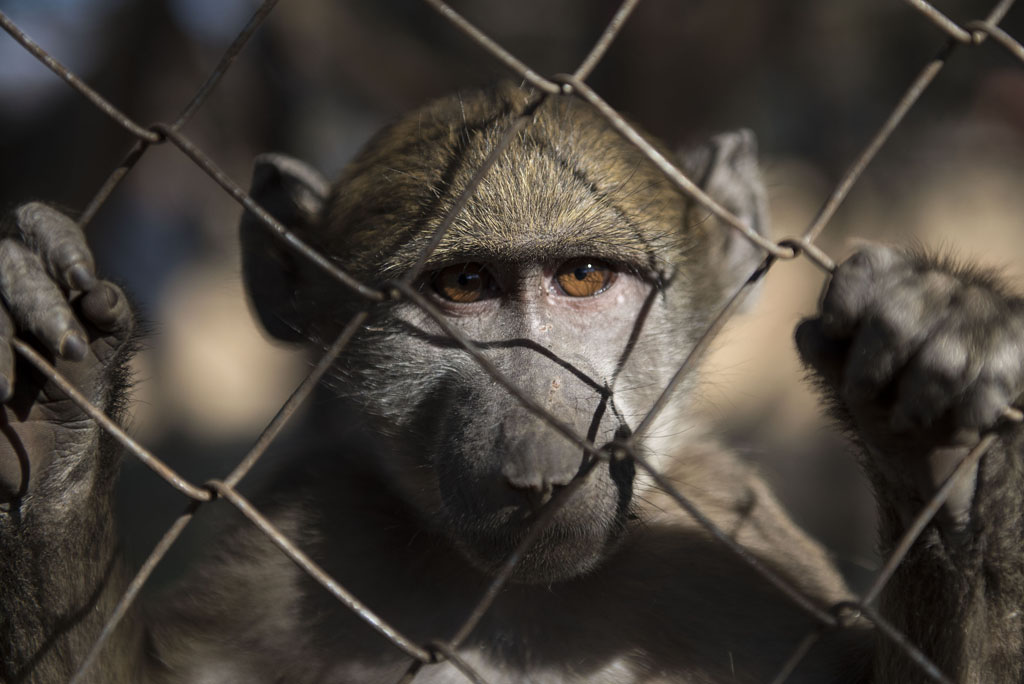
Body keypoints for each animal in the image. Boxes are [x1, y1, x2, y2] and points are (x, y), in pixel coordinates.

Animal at [1, 80, 1023, 683]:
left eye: (583, 277)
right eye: (463, 286)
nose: (544, 452)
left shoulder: (730, 552)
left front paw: (937, 437)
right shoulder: (294, 552)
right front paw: (47, 416)